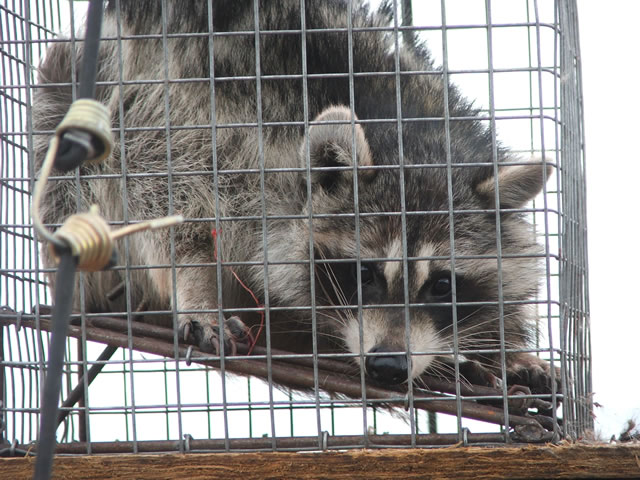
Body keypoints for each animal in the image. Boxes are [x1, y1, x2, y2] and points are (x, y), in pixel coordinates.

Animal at [32, 0, 555, 391]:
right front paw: (197, 284)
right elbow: (172, 202)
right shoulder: (205, 118)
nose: (388, 365)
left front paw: (505, 345)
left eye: (443, 285)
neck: (412, 132)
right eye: (364, 274)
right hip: (91, 87)